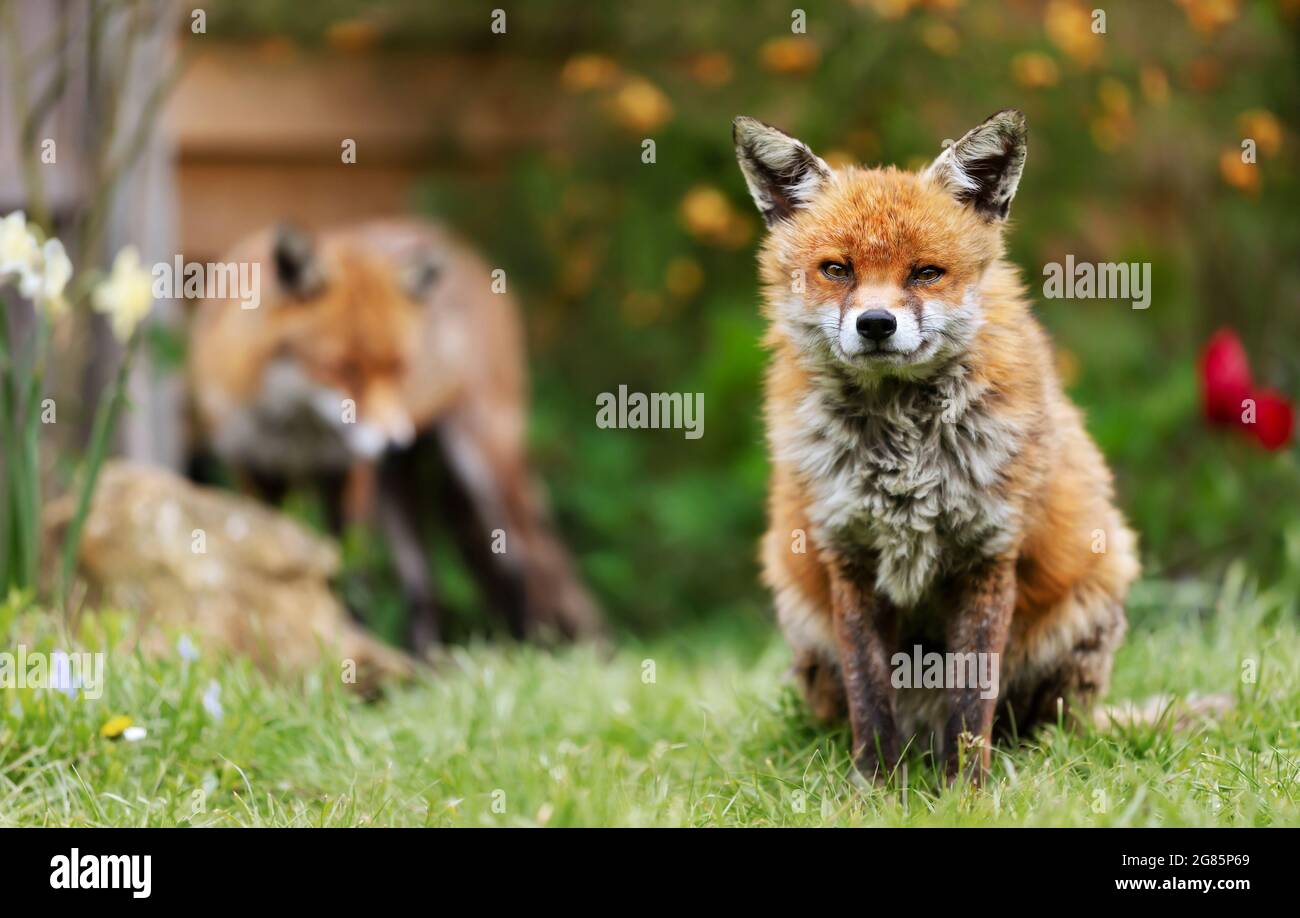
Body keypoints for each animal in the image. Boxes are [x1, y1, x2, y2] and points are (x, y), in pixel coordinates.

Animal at [189, 218, 603, 651]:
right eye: (343, 368)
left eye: (399, 367)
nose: (394, 441)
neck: (298, 430)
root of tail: (462, 246)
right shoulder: (253, 468)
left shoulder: (350, 471)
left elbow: (353, 575)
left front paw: (350, 639)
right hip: (400, 496)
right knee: (425, 586)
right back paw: (427, 659)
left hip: (484, 469)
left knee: (522, 564)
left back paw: (521, 648)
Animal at [733, 110, 1141, 783]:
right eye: (837, 269)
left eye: (925, 272)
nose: (875, 324)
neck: (903, 449)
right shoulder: (850, 558)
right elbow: (870, 706)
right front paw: (873, 792)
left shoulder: (988, 555)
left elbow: (971, 712)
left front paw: (965, 793)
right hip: (803, 618)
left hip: (1089, 601)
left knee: (1037, 731)